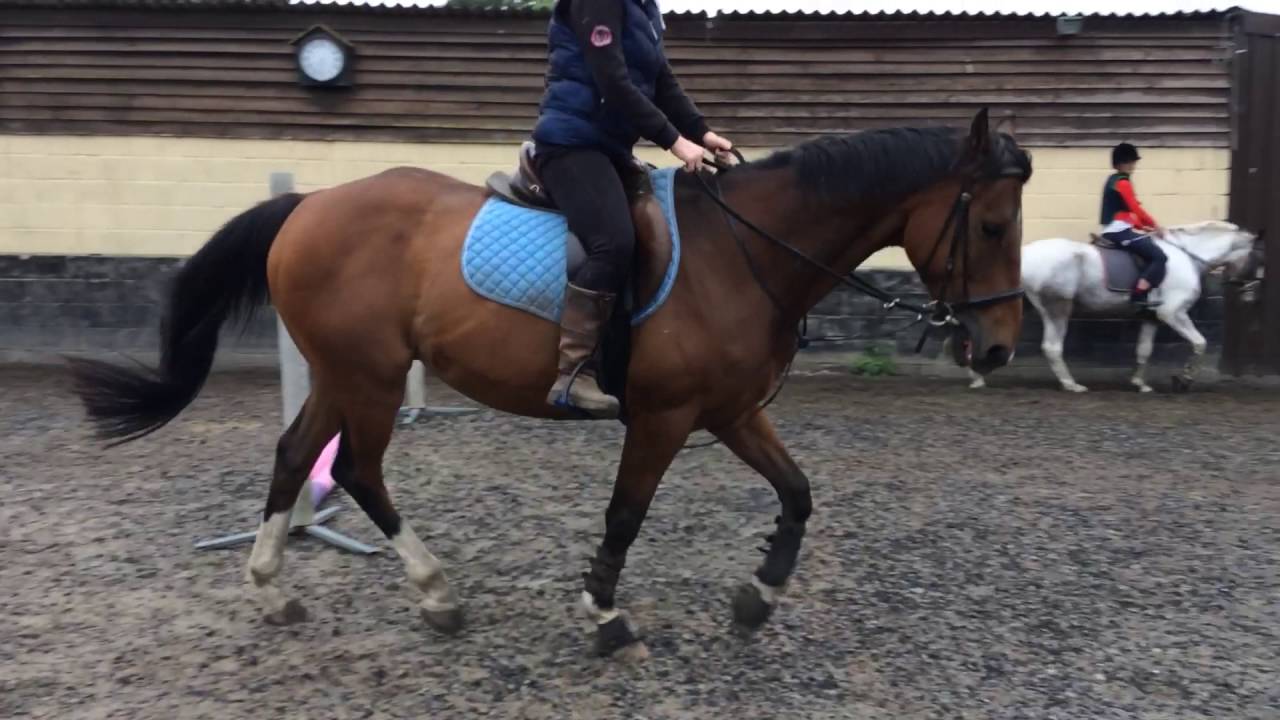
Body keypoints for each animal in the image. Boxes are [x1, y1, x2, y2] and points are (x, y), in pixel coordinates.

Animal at [69, 109, 1032, 660]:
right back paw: (437, 594)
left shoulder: (728, 412)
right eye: (990, 224)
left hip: (346, 373)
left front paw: (757, 598)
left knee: (296, 455)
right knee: (357, 471)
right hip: (370, 377)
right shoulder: (663, 417)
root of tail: (308, 205)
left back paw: (275, 590)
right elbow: (626, 514)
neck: (744, 253)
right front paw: (604, 617)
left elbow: (797, 493)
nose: (997, 350)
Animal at [966, 221, 1262, 394]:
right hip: (1057, 308)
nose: (1251, 296)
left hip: (1022, 306)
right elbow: (1200, 343)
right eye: (1260, 257)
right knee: (1051, 347)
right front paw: (1184, 380)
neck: (1187, 256)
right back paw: (1071, 384)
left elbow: (1144, 350)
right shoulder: (1173, 313)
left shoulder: (1152, 317)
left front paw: (1140, 383)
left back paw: (978, 375)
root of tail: (1024, 254)